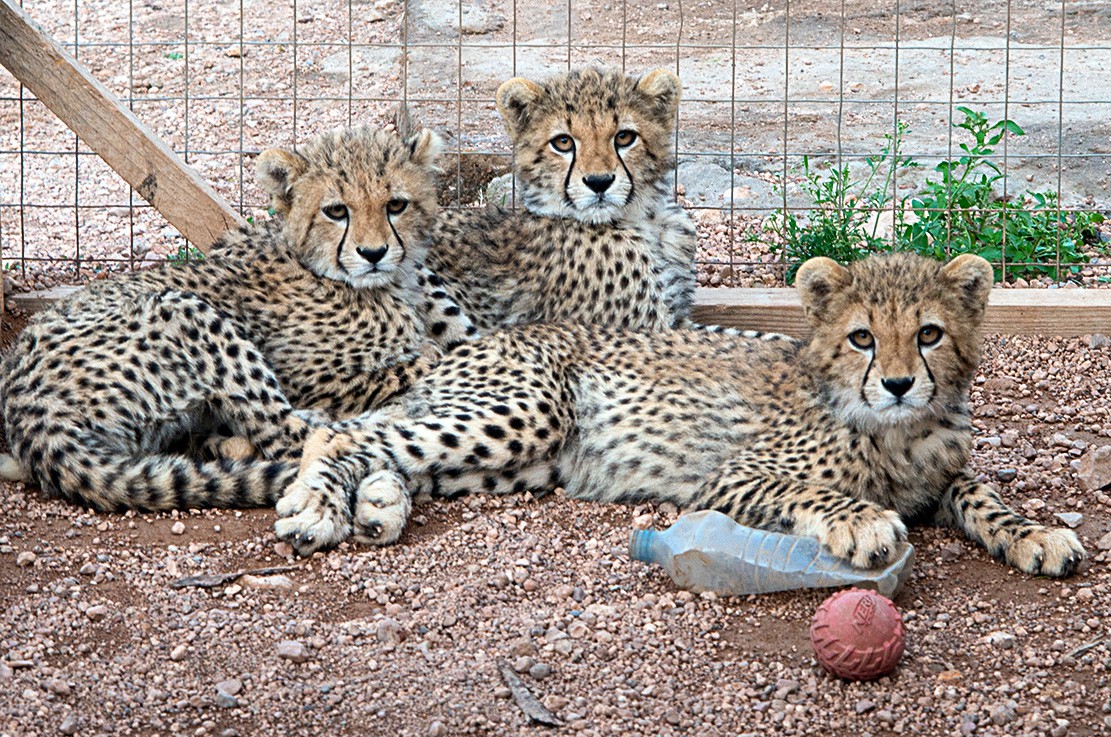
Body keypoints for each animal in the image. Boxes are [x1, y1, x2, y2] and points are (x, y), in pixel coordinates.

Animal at [0, 119, 476, 512]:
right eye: (336, 210)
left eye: (396, 204)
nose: (374, 253)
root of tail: (24, 404)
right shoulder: (307, 378)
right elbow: (424, 359)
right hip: (184, 311)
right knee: (288, 434)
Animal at [273, 252, 1085, 579]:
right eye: (862, 336)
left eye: (928, 334)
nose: (896, 383)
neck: (899, 432)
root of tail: (483, 338)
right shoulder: (728, 479)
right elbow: (821, 492)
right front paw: (860, 522)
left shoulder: (939, 473)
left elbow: (980, 492)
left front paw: (1036, 532)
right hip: (528, 410)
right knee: (340, 430)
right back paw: (316, 506)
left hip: (519, 461)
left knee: (395, 451)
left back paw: (378, 503)